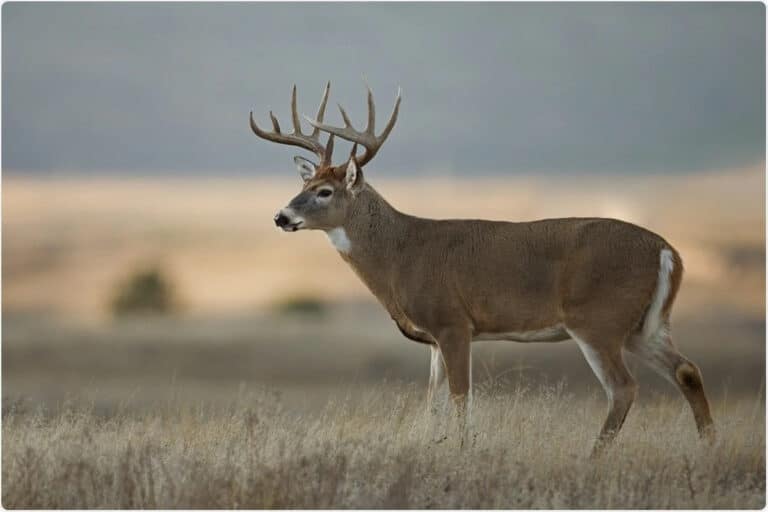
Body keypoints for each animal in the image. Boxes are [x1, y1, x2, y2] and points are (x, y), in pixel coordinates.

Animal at [249, 82, 715, 455]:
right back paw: (708, 448)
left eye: (325, 191)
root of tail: (667, 251)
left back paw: (593, 457)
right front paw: (431, 448)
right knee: (687, 369)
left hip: (598, 319)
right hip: (643, 325)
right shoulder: (433, 338)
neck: (401, 255)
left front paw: (462, 452)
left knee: (623, 387)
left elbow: (460, 398)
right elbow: (433, 403)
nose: (280, 216)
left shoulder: (454, 322)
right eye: (303, 184)